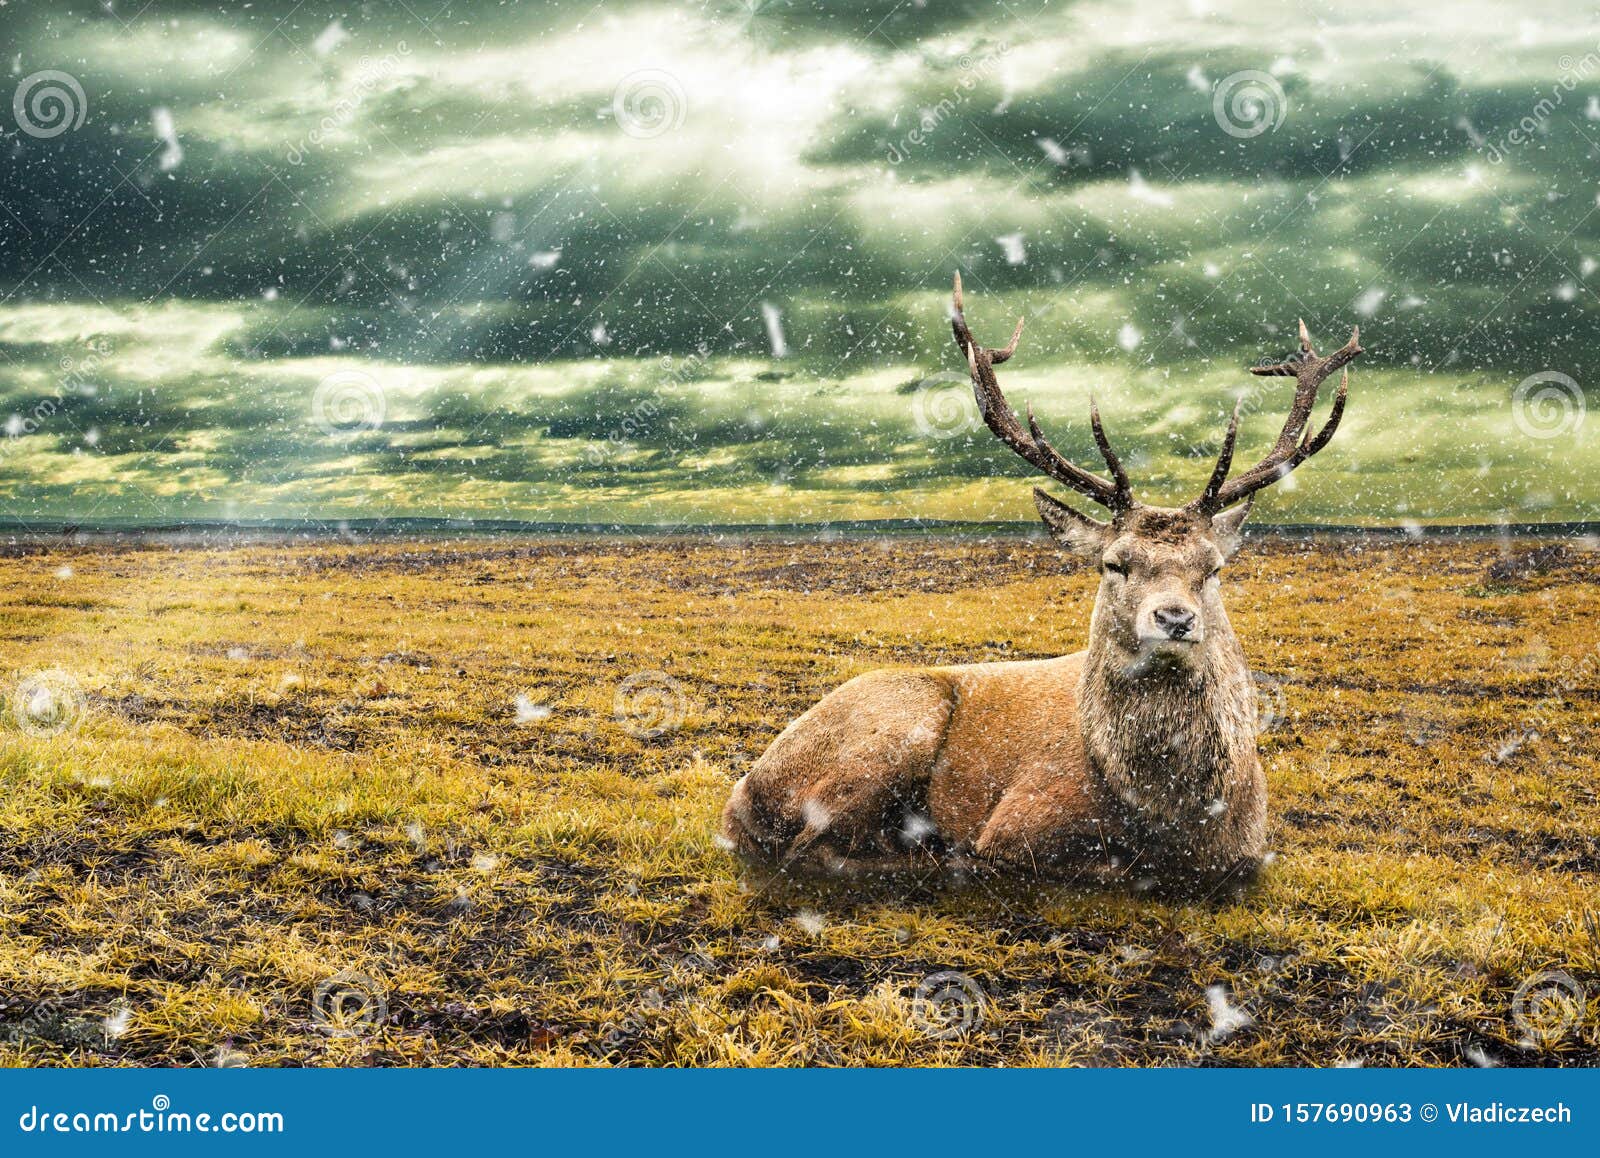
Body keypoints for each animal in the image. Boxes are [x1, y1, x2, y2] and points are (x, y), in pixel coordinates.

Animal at [720, 274, 1362, 895]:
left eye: (1214, 568)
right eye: (1114, 563)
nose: (1175, 618)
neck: (1170, 812)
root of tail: (742, 795)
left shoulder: (1251, 845)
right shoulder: (1019, 817)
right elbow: (1081, 866)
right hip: (898, 723)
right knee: (811, 847)